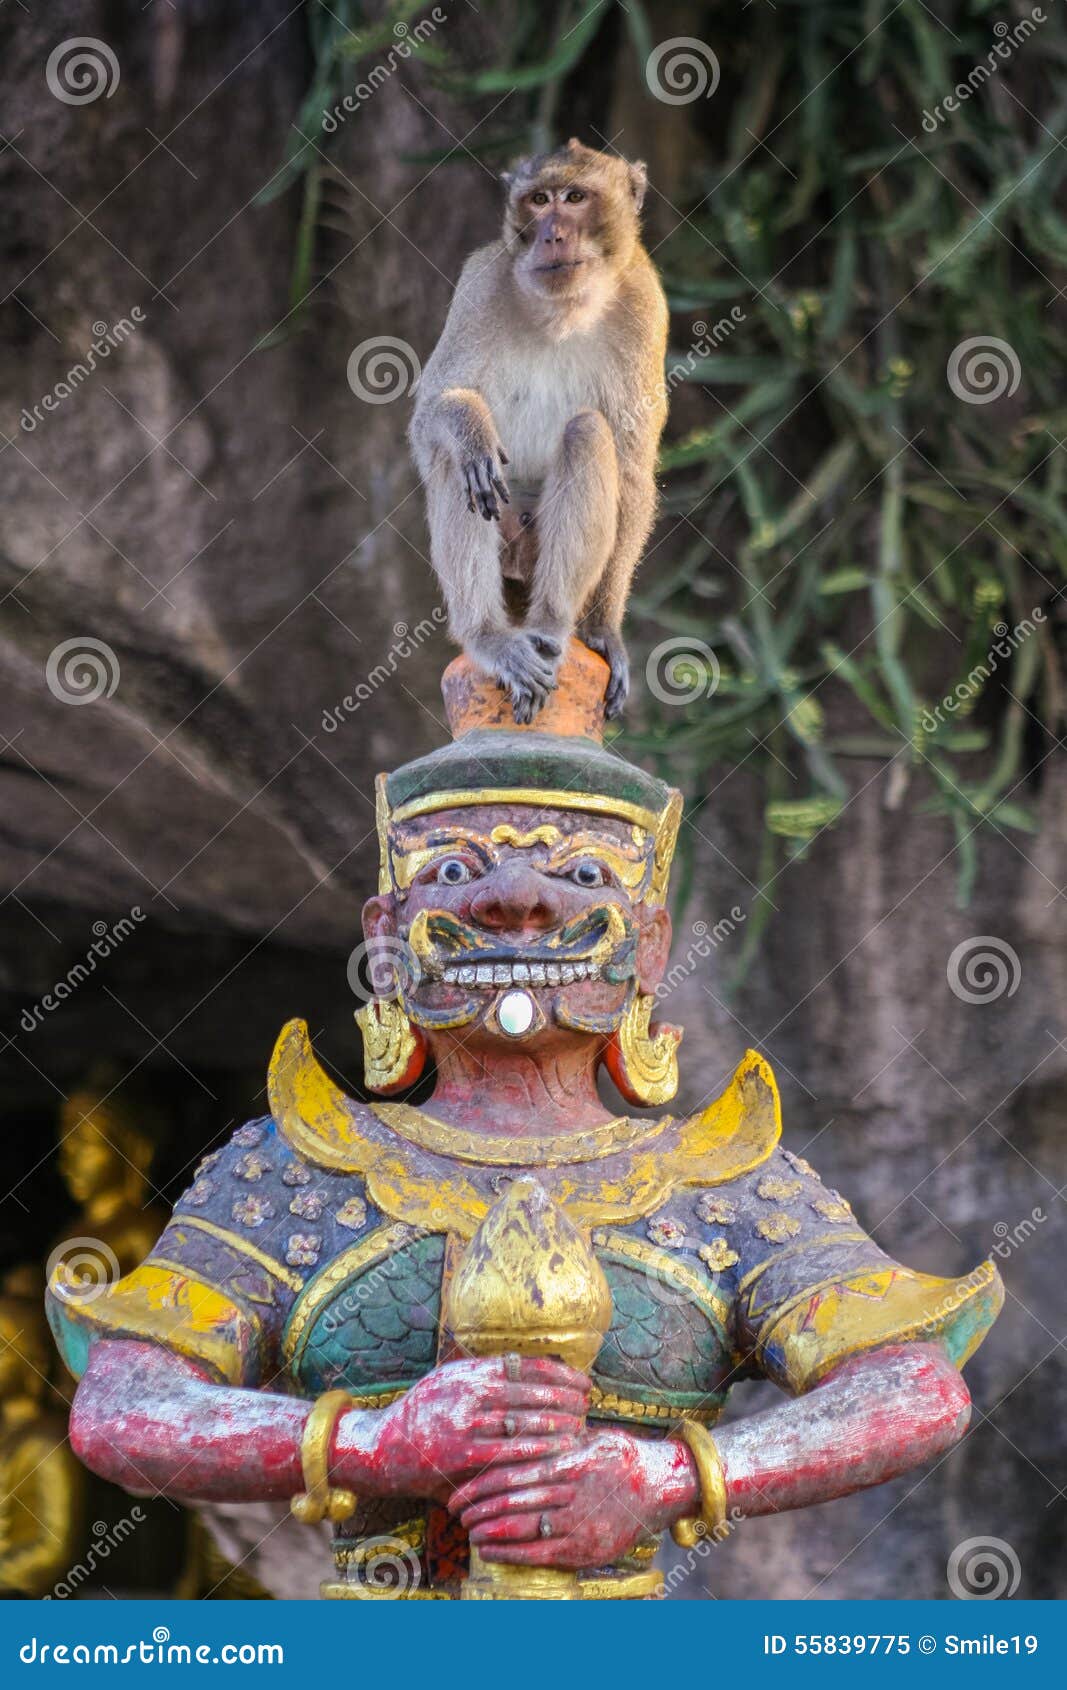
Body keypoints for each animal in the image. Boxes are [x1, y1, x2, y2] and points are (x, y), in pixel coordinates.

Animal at [409, 139, 669, 723]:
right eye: (538, 200)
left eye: (574, 198)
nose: (552, 233)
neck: (563, 309)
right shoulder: (480, 283)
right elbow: (430, 417)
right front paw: (470, 429)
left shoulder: (646, 302)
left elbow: (633, 473)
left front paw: (603, 631)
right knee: (454, 464)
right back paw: (488, 637)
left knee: (588, 433)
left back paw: (552, 625)